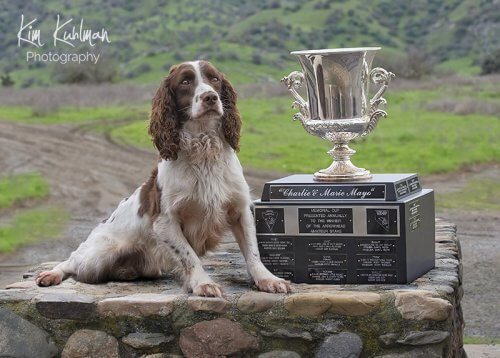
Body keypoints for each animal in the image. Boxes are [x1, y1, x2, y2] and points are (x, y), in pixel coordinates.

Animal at [34, 60, 292, 296]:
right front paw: (203, 283)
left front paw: (268, 279)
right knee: (73, 259)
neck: (204, 150)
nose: (210, 97)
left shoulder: (239, 209)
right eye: (185, 82)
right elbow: (189, 256)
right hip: (96, 257)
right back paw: (51, 274)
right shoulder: (165, 221)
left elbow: (253, 252)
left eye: (214, 79)